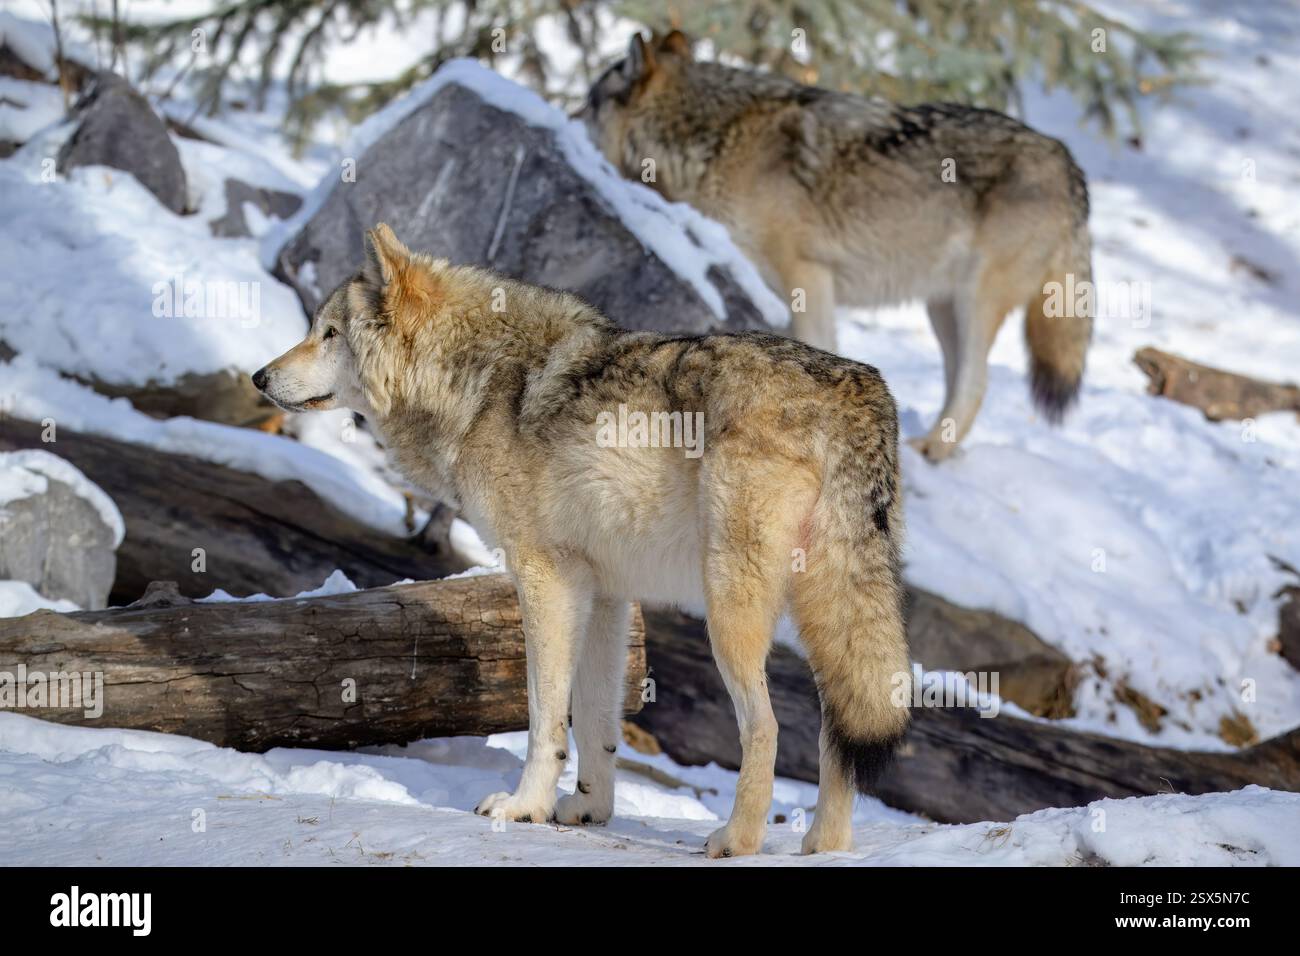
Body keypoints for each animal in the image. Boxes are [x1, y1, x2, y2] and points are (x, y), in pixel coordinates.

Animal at [252, 223, 910, 858]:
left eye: (329, 334)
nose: (259, 376)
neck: (475, 381)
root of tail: (860, 391)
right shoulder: (607, 594)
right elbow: (596, 717)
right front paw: (588, 810)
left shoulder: (544, 578)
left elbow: (546, 713)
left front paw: (524, 807)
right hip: (826, 614)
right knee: (837, 729)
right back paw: (827, 847)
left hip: (732, 614)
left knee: (766, 728)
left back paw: (736, 841)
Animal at [579, 32, 1094, 460]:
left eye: (587, 103)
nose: (568, 118)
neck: (714, 138)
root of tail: (1069, 160)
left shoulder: (807, 275)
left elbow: (819, 345)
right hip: (941, 308)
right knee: (957, 378)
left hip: (976, 300)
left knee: (978, 381)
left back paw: (933, 450)